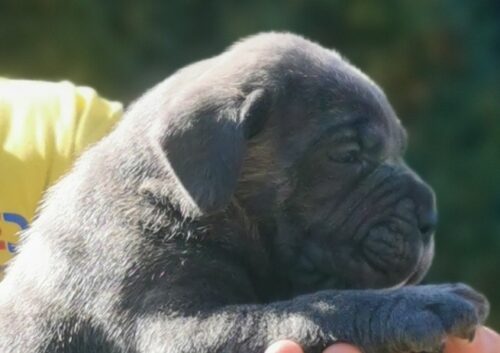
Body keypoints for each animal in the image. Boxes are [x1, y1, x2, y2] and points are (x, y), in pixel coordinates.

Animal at [0, 33, 488, 352]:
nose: (430, 222)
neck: (173, 204)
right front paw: (421, 303)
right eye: (347, 155)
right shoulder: (165, 325)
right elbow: (303, 308)